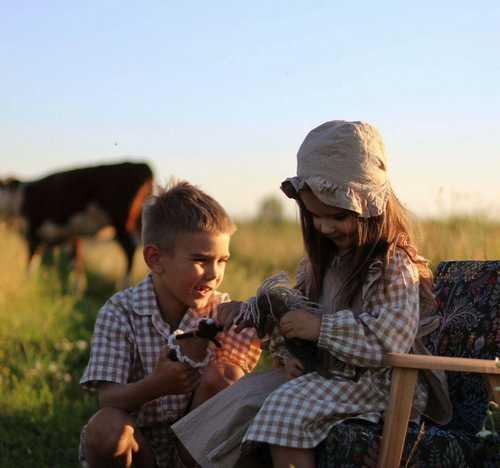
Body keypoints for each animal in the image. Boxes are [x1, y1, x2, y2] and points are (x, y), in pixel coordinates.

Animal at [0, 161, 154, 286]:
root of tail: (143, 166)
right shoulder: (71, 236)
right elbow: (75, 262)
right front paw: (75, 291)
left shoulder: (32, 230)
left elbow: (31, 261)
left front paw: (26, 282)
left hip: (122, 222)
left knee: (129, 248)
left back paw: (124, 284)